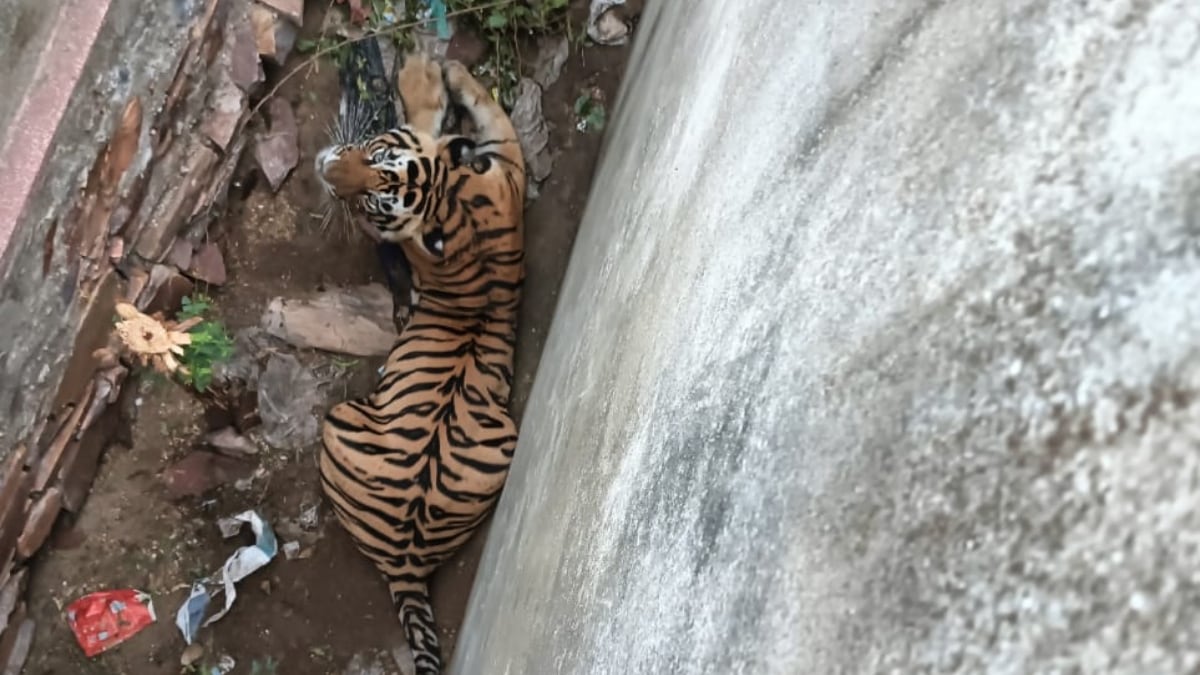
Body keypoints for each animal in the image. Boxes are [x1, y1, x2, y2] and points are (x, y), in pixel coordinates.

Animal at [315, 52, 525, 675]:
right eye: (374, 152)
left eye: (372, 200)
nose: (326, 169)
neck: (448, 192)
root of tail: (406, 559)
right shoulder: (506, 162)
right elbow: (482, 106)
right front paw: (444, 74)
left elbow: (434, 118)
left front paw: (418, 72)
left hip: (337, 421)